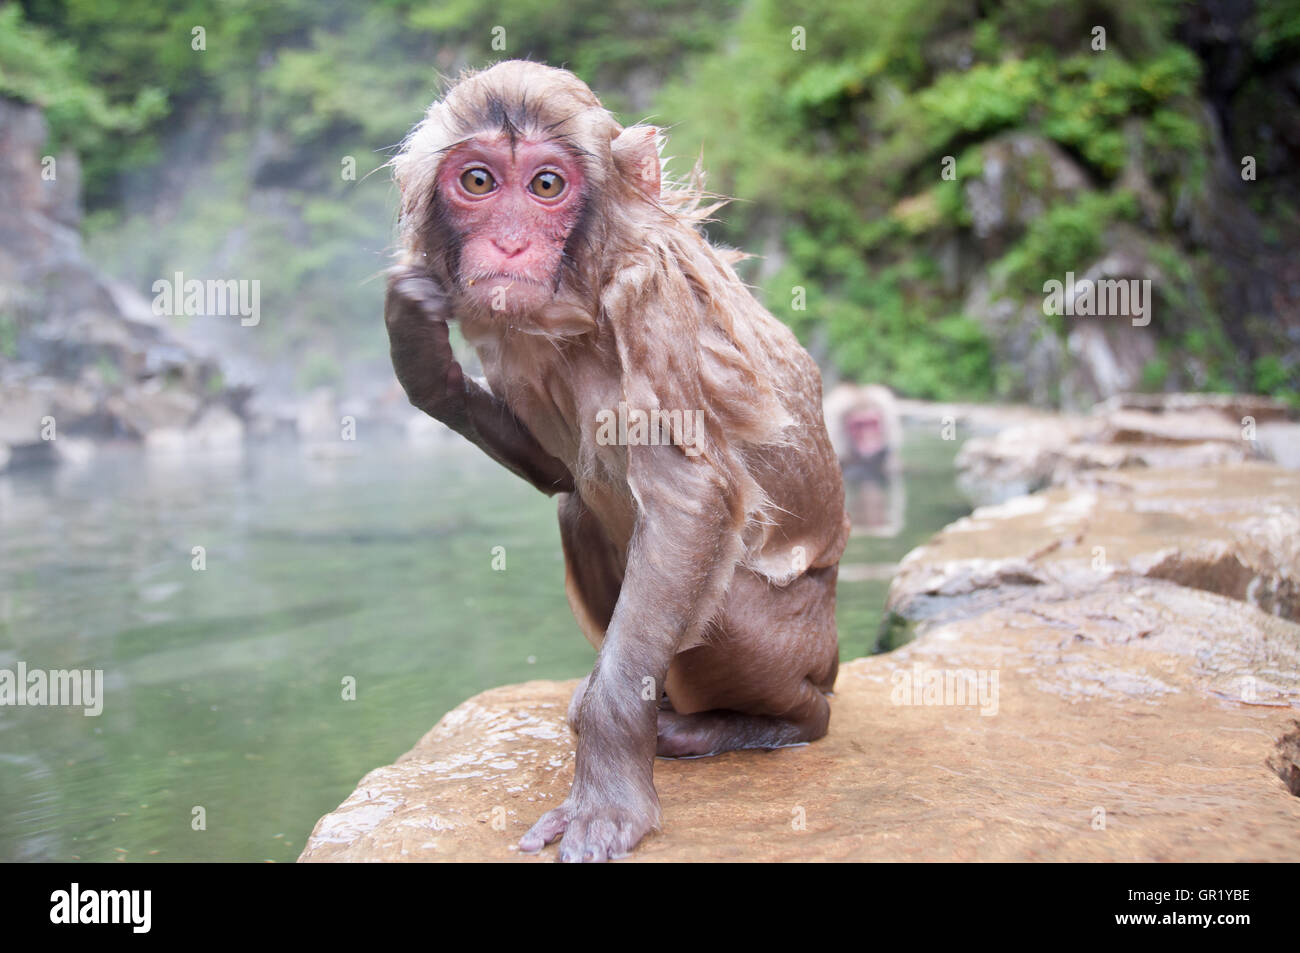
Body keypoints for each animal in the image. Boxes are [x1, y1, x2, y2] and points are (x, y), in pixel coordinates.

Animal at [384, 61, 849, 862]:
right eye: (477, 180)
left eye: (546, 185)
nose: (509, 246)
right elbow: (558, 474)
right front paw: (419, 356)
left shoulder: (652, 302)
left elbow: (691, 499)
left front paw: (605, 789)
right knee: (579, 508)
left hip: (799, 641)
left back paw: (764, 724)